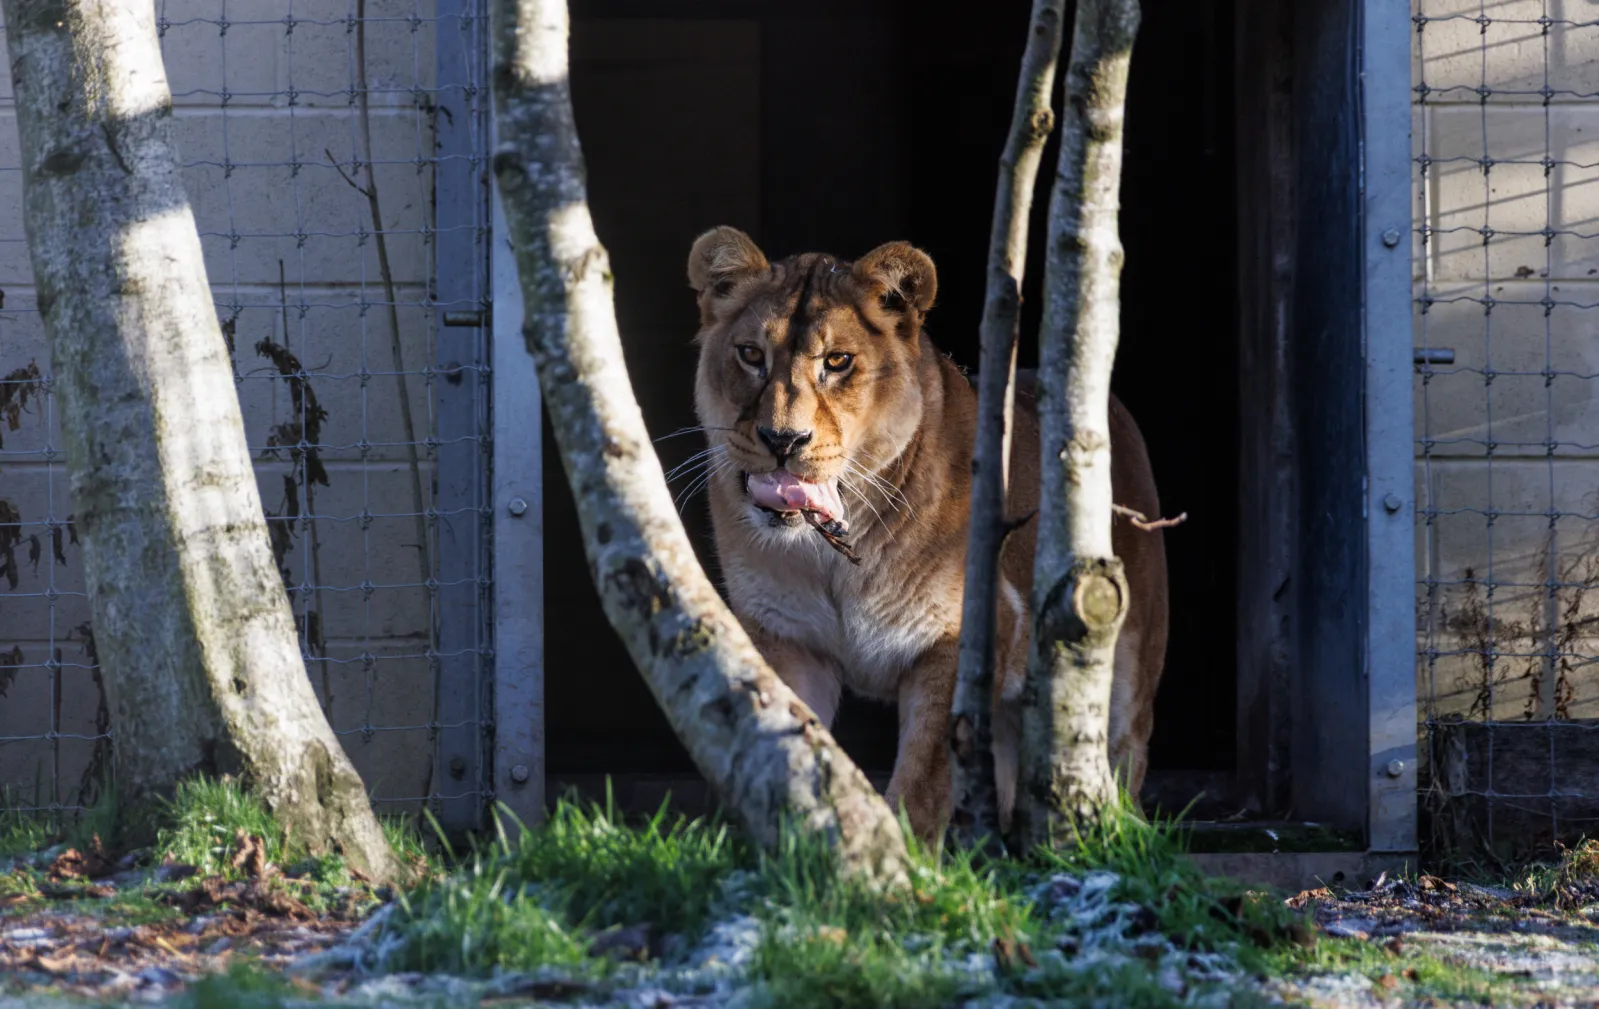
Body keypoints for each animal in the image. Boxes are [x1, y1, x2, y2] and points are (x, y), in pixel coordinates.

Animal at [685, 227, 1170, 841]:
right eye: (750, 354)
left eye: (838, 362)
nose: (782, 440)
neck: (832, 553)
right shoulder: (786, 640)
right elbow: (786, 742)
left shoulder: (959, 642)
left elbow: (925, 775)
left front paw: (903, 856)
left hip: (1126, 661)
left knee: (1122, 751)